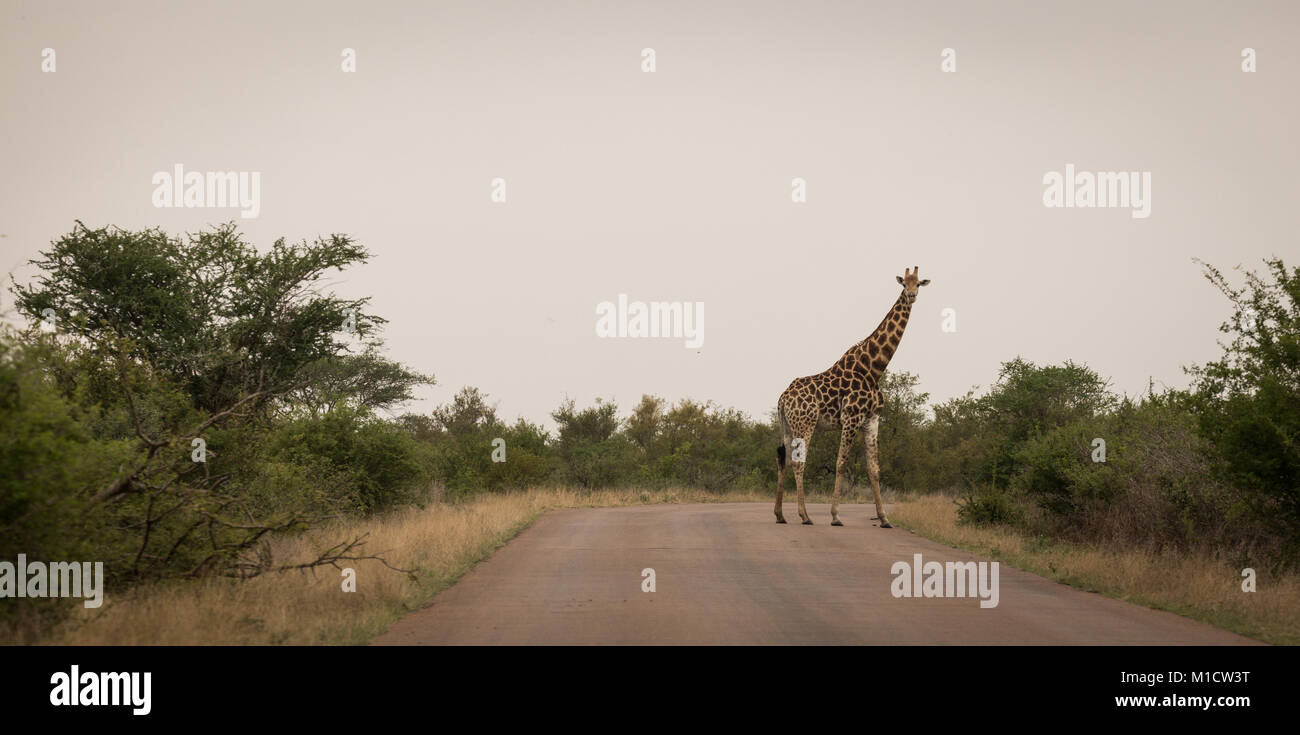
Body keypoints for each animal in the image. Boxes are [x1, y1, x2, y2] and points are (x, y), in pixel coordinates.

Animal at [774, 267, 930, 526]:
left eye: (918, 283)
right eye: (903, 284)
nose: (911, 295)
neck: (873, 368)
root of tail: (783, 399)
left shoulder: (872, 420)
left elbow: (874, 468)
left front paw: (884, 518)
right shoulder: (851, 418)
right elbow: (841, 463)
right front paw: (836, 516)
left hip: (787, 425)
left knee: (783, 459)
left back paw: (780, 514)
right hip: (805, 424)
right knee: (798, 462)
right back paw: (804, 515)